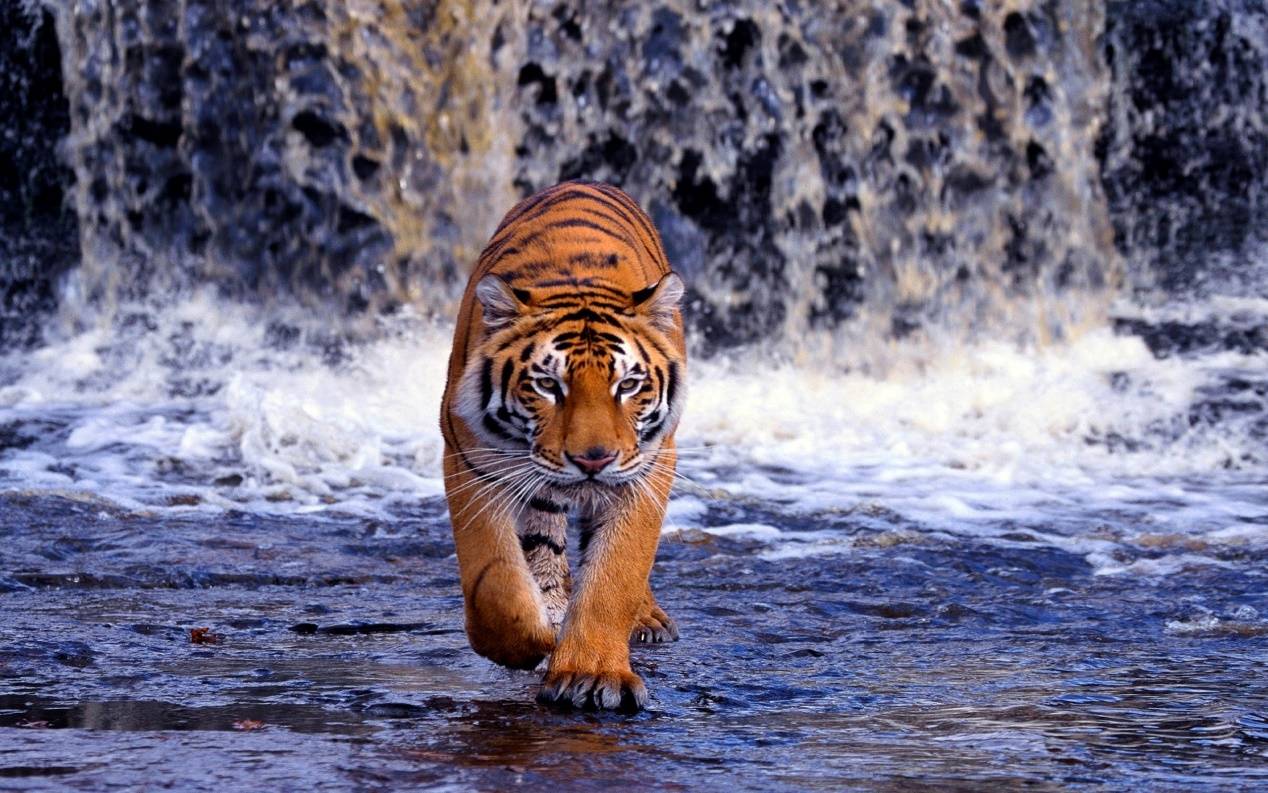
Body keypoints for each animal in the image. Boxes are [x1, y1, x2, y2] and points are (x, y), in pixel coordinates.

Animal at [439, 180, 687, 712]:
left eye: (628, 385)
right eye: (548, 385)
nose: (593, 460)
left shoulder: (647, 467)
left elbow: (616, 573)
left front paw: (591, 673)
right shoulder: (470, 459)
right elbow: (494, 581)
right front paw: (530, 641)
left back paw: (646, 619)